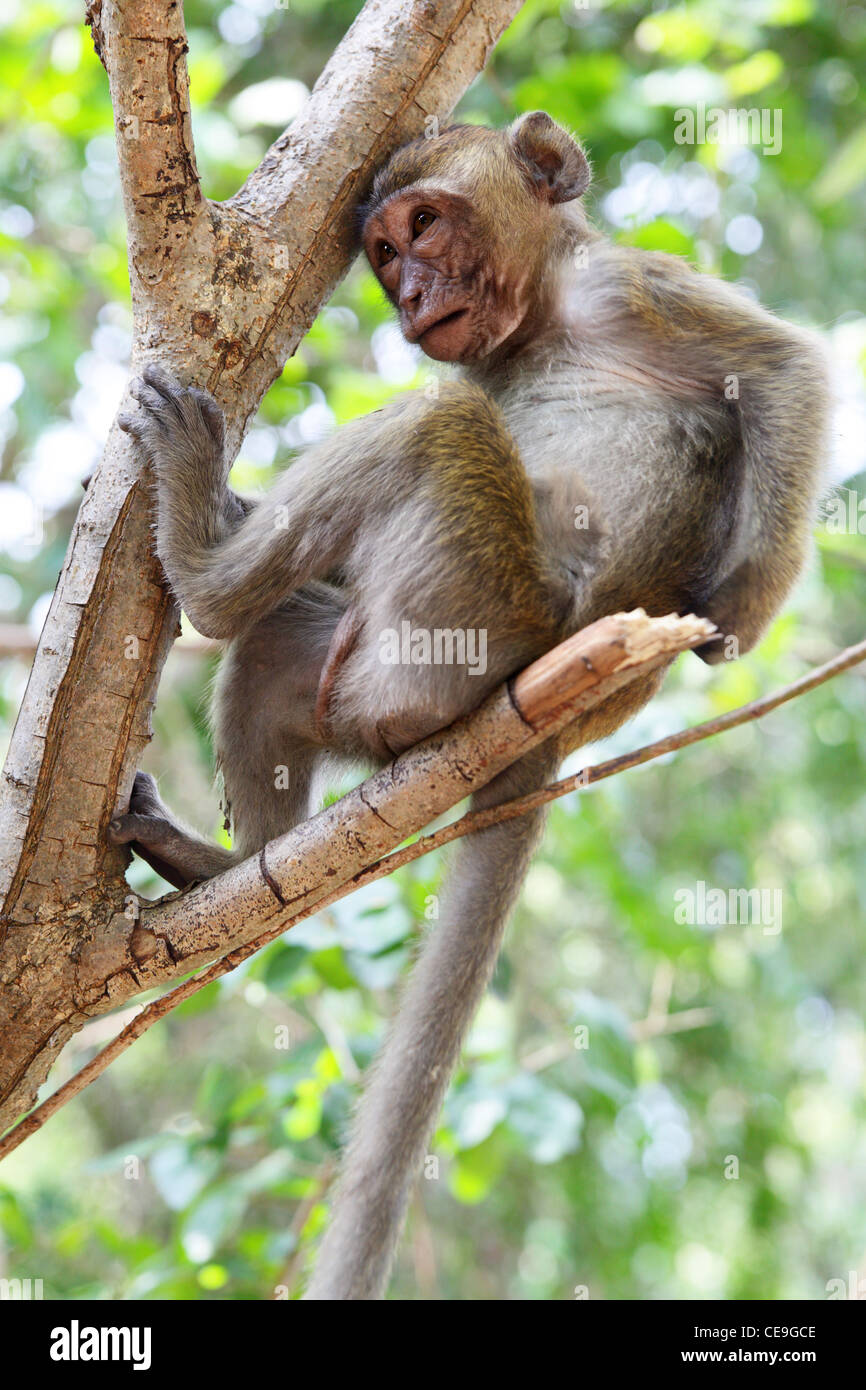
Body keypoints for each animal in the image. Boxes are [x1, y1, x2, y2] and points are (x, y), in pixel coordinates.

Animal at [109, 112, 829, 1299]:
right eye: (382, 253)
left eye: (426, 224)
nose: (411, 295)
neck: (535, 319)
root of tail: (543, 723)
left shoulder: (632, 286)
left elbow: (781, 370)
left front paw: (739, 607)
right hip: (379, 671)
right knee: (281, 635)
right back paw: (226, 866)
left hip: (469, 617)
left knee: (430, 427)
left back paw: (201, 555)